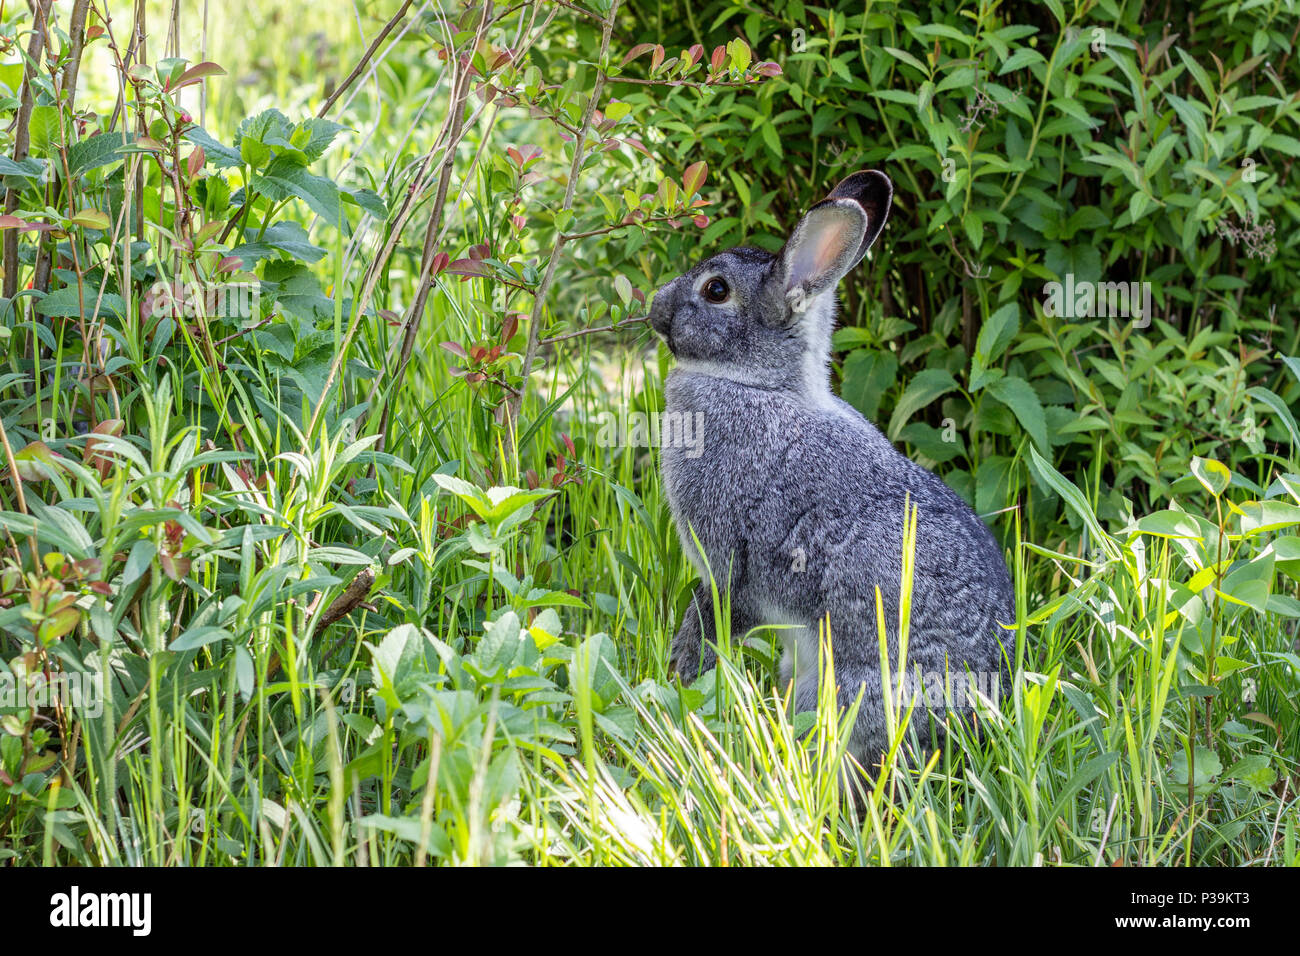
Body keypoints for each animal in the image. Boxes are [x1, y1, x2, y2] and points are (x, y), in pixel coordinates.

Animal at [649, 170, 1015, 767]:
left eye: (716, 291)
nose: (655, 310)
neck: (759, 386)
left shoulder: (728, 564)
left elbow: (714, 616)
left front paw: (683, 675)